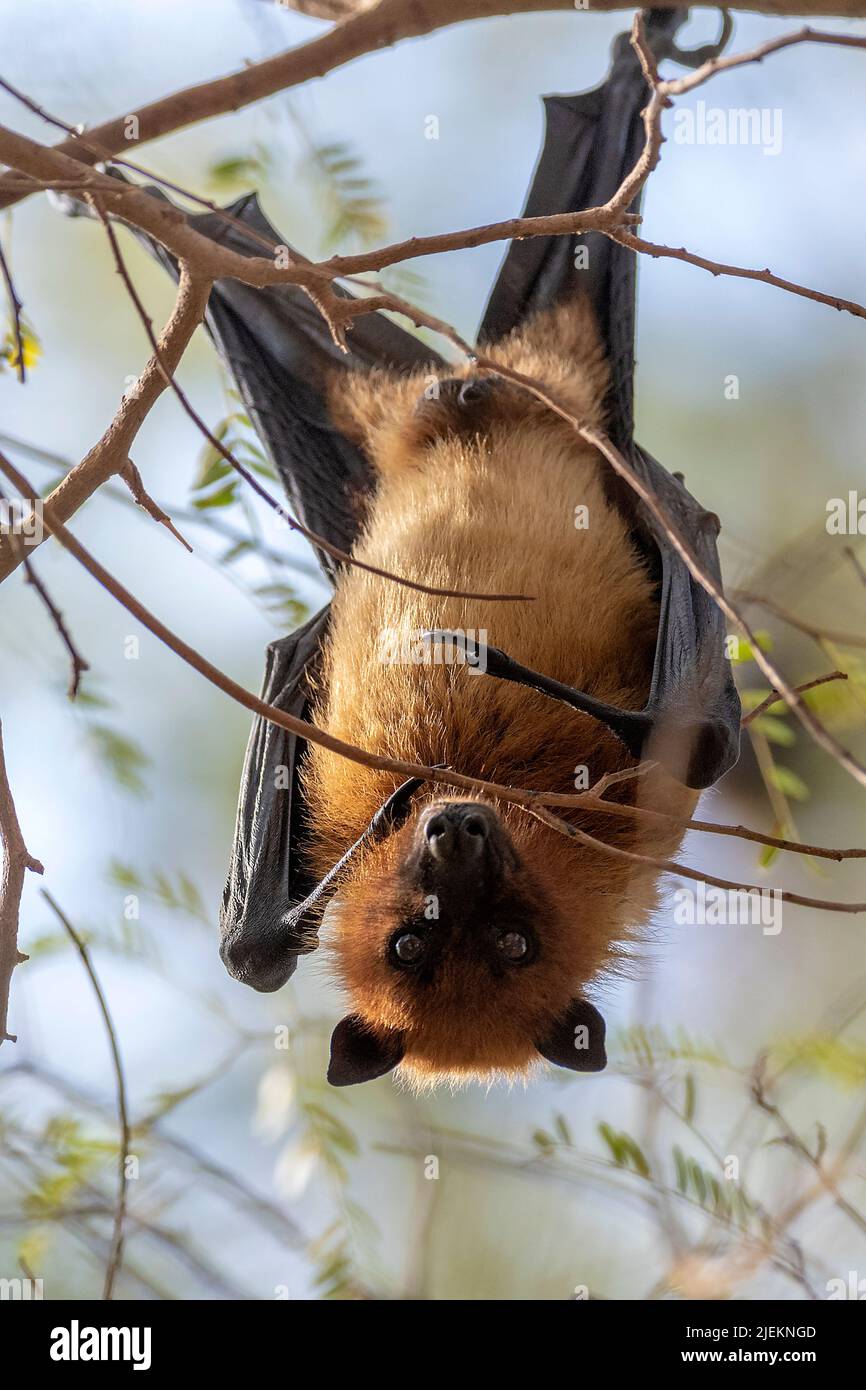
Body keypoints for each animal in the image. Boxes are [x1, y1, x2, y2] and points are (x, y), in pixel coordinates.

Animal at [300, 298, 701, 1089]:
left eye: (514, 944)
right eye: (409, 946)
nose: (455, 828)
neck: (479, 768)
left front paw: (474, 655)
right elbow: (254, 950)